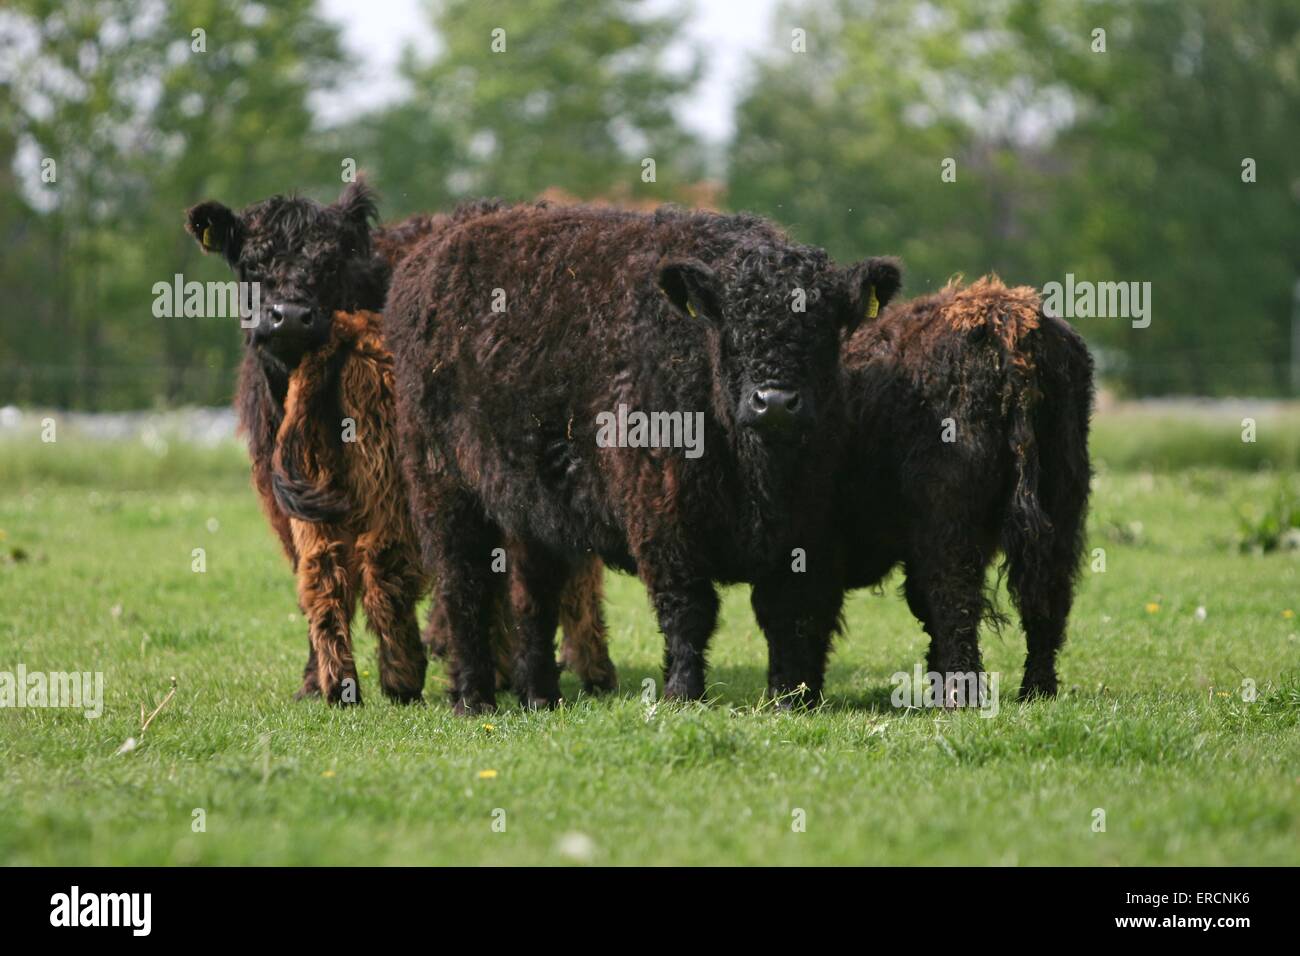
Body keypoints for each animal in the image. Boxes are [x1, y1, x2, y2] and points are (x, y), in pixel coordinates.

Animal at [384, 201, 901, 713]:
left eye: (824, 330)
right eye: (730, 327)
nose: (773, 402)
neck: (759, 475)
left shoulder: (808, 532)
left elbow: (791, 615)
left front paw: (790, 700)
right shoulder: (664, 518)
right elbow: (688, 610)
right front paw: (683, 694)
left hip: (533, 505)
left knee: (532, 596)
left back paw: (541, 696)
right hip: (443, 487)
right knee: (463, 588)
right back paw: (473, 699)